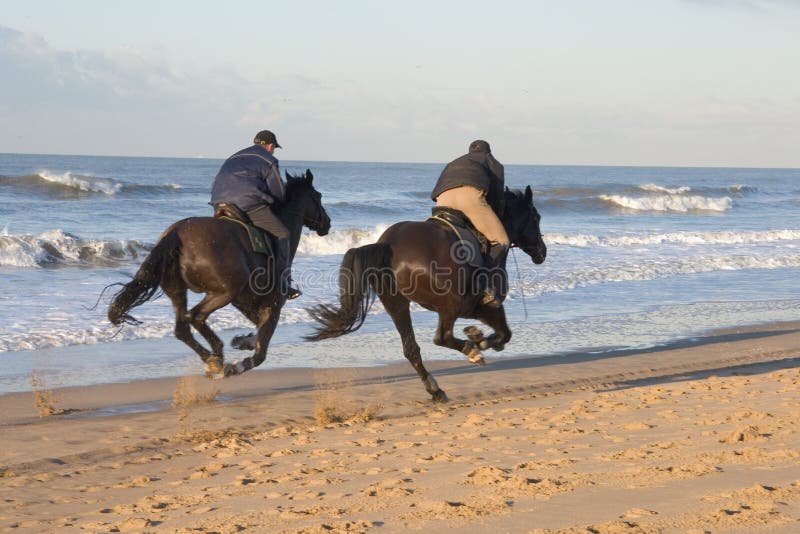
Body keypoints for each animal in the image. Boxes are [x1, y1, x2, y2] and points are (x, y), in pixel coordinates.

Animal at [107, 170, 331, 378]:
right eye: (317, 196)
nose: (327, 223)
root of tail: (176, 233)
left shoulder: (246, 302)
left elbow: (258, 330)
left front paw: (243, 341)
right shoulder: (273, 304)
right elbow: (261, 351)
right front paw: (241, 361)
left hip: (180, 290)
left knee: (182, 329)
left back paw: (211, 358)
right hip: (223, 293)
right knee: (195, 316)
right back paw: (218, 358)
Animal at [306, 185, 546, 402]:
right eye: (536, 218)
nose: (542, 252)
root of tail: (388, 244)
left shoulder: (474, 308)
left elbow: (502, 333)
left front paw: (476, 335)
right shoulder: (488, 305)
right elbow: (504, 334)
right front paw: (480, 341)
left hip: (397, 305)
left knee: (411, 348)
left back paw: (436, 389)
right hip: (449, 305)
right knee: (442, 337)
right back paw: (471, 353)